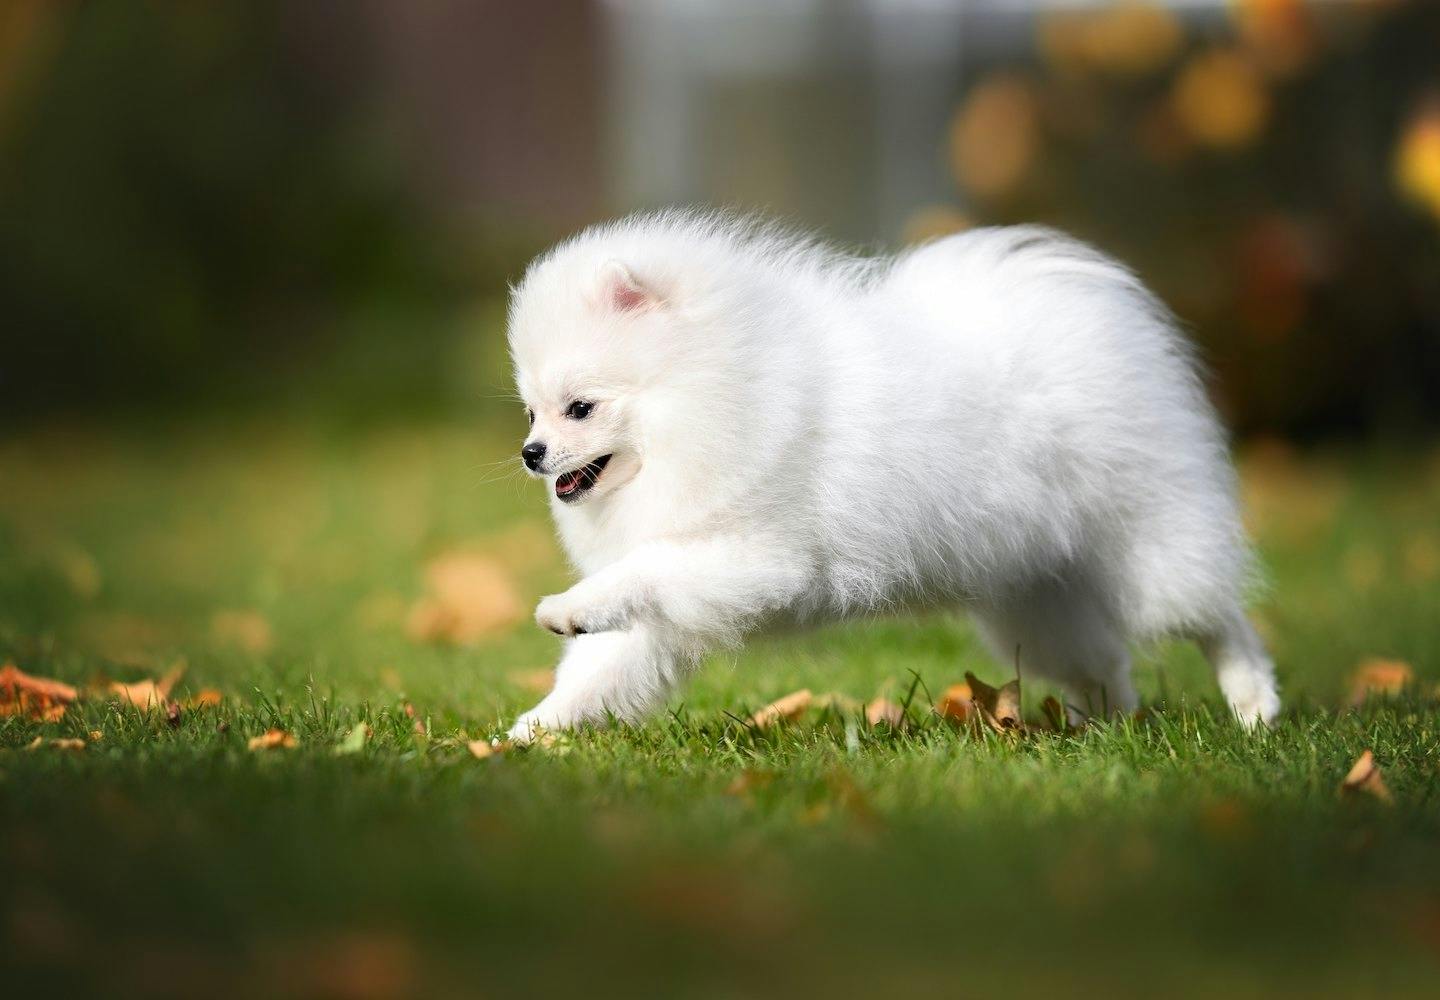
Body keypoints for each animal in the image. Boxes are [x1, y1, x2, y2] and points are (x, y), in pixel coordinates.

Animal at [504, 211, 1272, 743]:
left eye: (580, 407)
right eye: (531, 410)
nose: (532, 452)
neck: (724, 389)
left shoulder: (760, 556)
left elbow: (644, 572)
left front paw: (565, 608)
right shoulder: (679, 597)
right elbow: (602, 664)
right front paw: (525, 735)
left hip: (1148, 546)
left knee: (1216, 617)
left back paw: (1254, 707)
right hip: (1040, 593)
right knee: (1103, 661)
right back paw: (1103, 727)